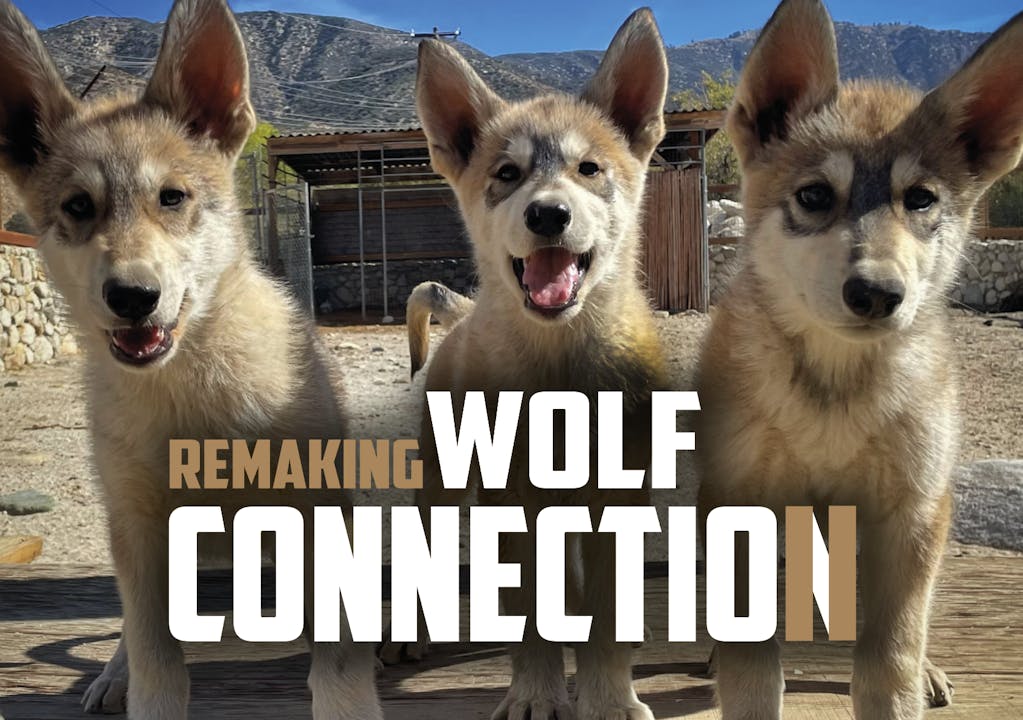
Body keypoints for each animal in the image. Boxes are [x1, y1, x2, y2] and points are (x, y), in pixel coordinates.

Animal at [0, 1, 382, 718]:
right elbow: (157, 665)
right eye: (77, 207)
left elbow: (339, 668)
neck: (190, 392)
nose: (132, 297)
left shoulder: (317, 514)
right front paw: (133, 679)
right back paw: (113, 674)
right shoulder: (139, 526)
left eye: (172, 197)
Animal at [380, 9, 670, 720]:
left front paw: (610, 698)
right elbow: (528, 616)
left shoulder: (618, 498)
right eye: (507, 174)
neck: (559, 363)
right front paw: (538, 697)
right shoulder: (512, 497)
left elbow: (604, 613)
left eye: (589, 168)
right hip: (445, 484)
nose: (548, 214)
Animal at [695, 0, 1023, 718]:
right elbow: (753, 669)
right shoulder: (742, 504)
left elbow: (888, 659)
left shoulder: (910, 513)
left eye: (920, 199)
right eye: (815, 196)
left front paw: (907, 679)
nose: (876, 294)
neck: (834, 387)